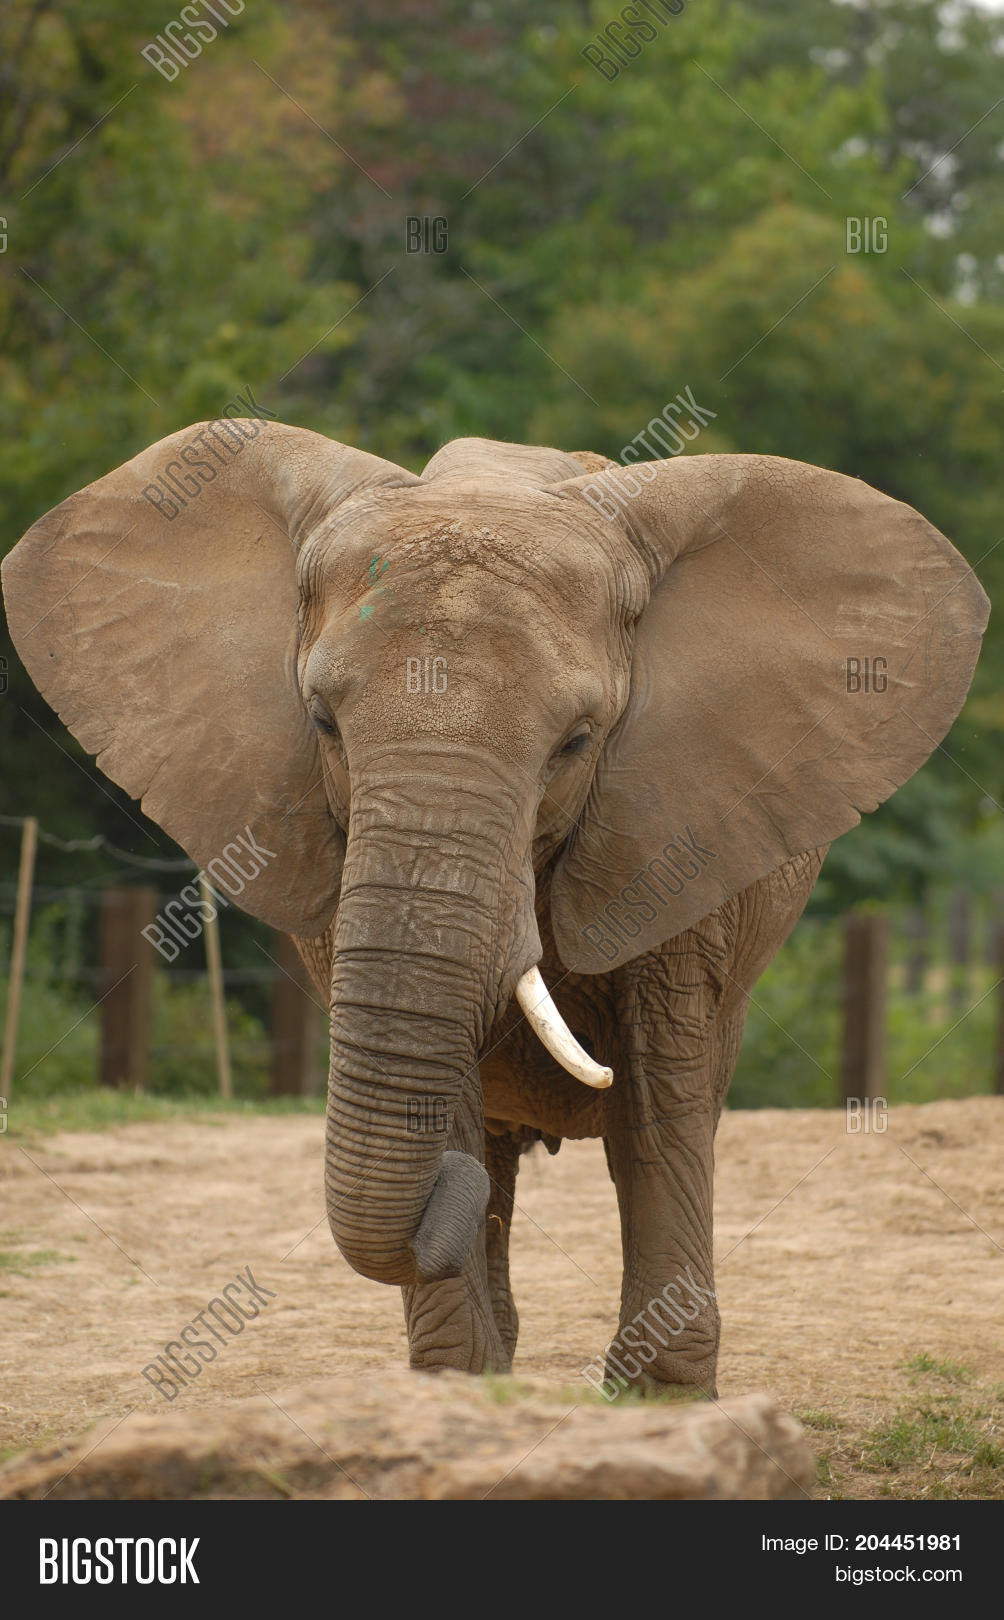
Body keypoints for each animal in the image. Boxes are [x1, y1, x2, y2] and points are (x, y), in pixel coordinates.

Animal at [2, 421, 988, 1397]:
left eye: (577, 742)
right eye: (321, 723)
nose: (443, 1198)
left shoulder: (677, 825)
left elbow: (656, 1101)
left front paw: (660, 1402)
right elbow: (449, 1089)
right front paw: (458, 1387)